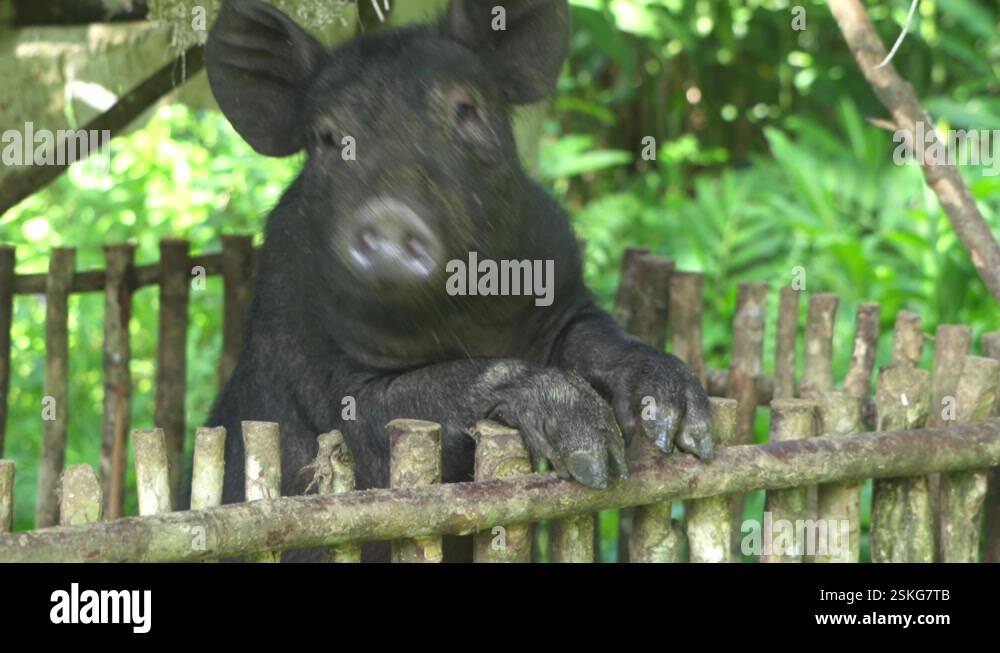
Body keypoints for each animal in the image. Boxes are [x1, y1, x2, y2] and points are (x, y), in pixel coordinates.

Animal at [204, 0, 713, 561]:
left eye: (467, 110)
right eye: (326, 138)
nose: (389, 217)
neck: (459, 315)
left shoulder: (562, 291)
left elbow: (598, 339)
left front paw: (689, 431)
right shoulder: (307, 364)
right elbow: (419, 398)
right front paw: (593, 458)